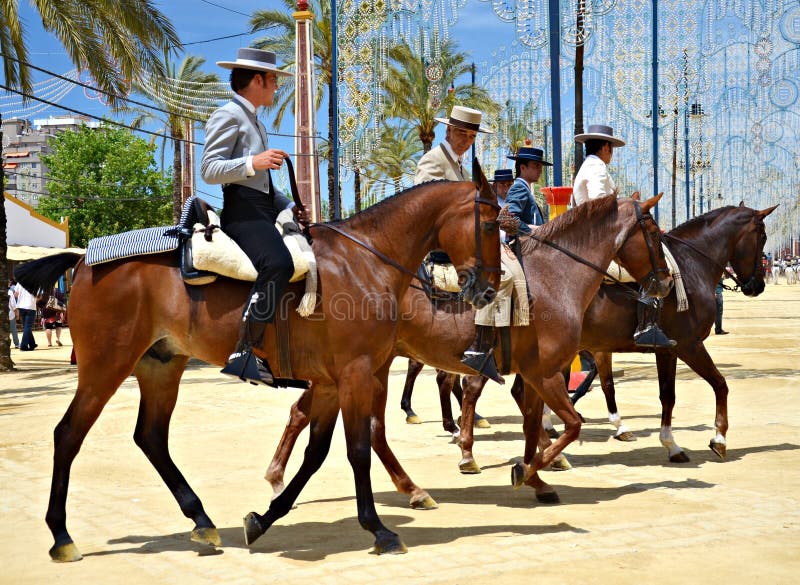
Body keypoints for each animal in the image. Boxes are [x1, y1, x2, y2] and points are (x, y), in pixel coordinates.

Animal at [14, 169, 503, 561]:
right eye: (492, 222)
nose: (489, 290)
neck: (364, 261)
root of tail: (83, 258)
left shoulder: (332, 383)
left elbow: (315, 454)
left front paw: (264, 518)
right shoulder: (356, 374)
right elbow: (357, 450)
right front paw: (379, 530)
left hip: (161, 366)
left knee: (150, 437)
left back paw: (202, 521)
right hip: (106, 365)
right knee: (68, 435)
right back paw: (62, 536)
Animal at [263, 195, 672, 503]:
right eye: (653, 232)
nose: (667, 282)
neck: (554, 276)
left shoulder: (534, 374)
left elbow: (531, 424)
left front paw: (536, 477)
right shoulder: (545, 373)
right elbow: (571, 425)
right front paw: (525, 469)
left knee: (320, 416)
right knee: (334, 419)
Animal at [536, 203, 777, 462]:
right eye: (763, 237)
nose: (758, 286)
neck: (691, 266)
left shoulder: (665, 350)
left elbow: (664, 394)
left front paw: (670, 444)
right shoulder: (689, 345)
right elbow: (719, 384)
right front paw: (718, 438)